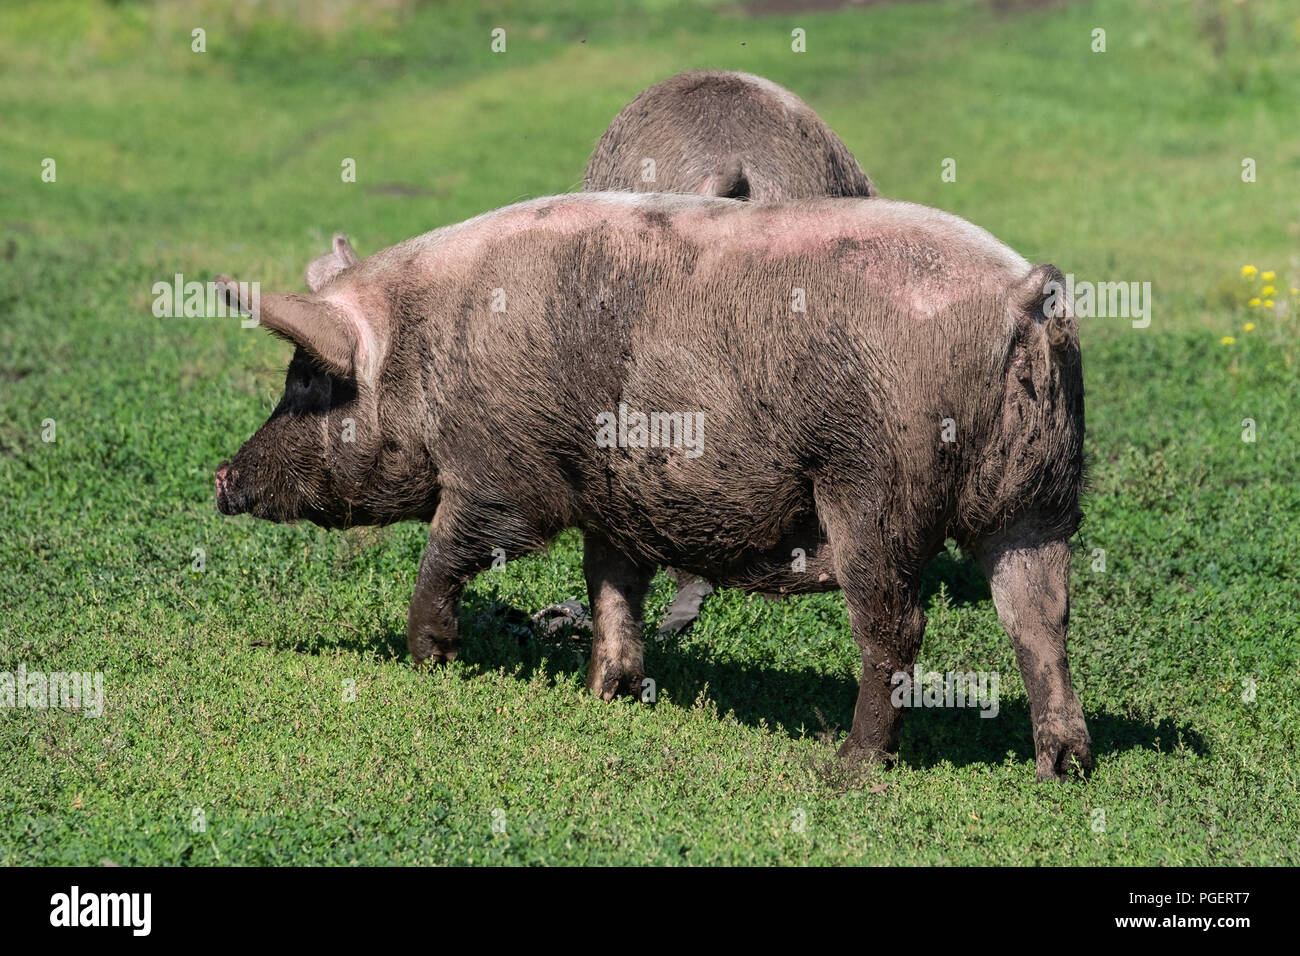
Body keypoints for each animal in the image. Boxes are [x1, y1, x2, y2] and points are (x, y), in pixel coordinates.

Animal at [214, 191, 1090, 780]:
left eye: (309, 383)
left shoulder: (505, 474)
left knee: (896, 628)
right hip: (1036, 502)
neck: (425, 347)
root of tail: (1021, 294)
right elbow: (610, 584)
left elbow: (453, 550)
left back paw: (845, 762)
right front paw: (605, 691)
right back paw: (1063, 768)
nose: (221, 475)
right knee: (1041, 619)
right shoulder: (613, 501)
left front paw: (434, 657)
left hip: (871, 490)